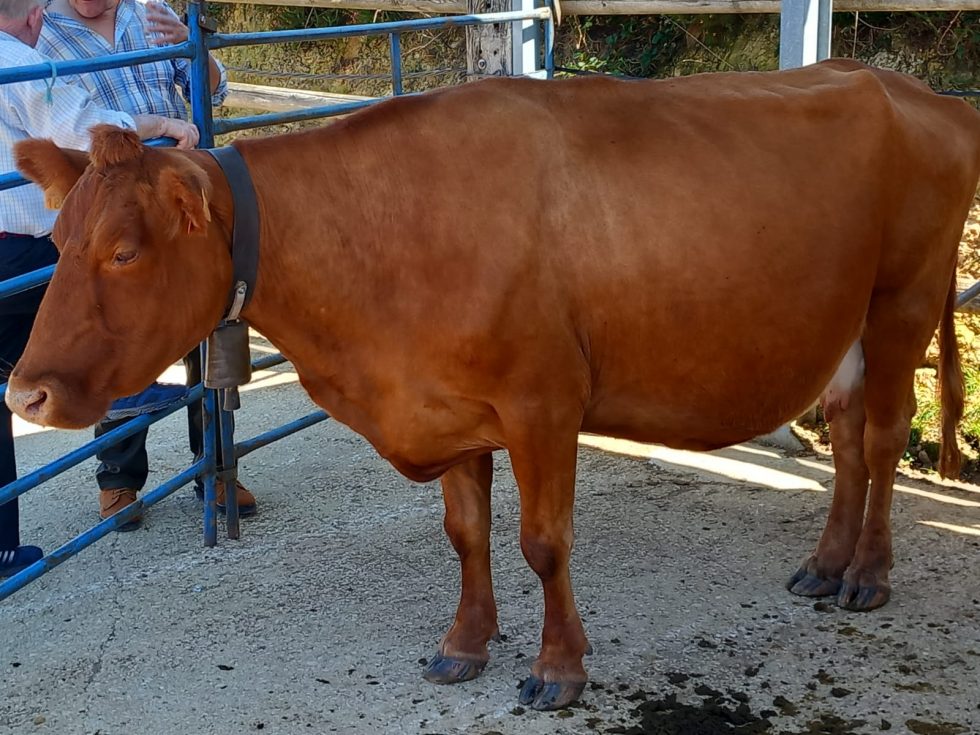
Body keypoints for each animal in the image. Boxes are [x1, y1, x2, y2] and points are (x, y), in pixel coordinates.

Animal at [7, 59, 980, 710]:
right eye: (56, 243)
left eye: (124, 251)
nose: (24, 396)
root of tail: (915, 90)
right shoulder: (451, 408)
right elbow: (465, 533)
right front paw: (463, 644)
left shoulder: (542, 401)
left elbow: (542, 542)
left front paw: (558, 668)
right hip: (848, 321)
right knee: (848, 432)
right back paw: (823, 564)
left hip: (904, 297)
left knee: (883, 437)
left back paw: (867, 574)